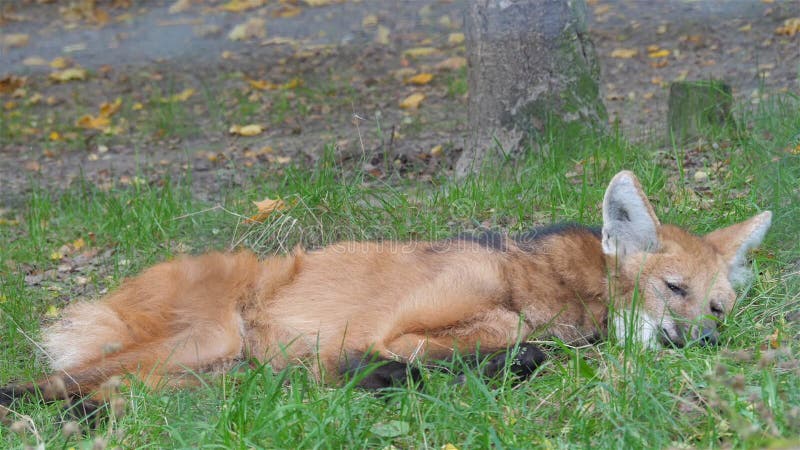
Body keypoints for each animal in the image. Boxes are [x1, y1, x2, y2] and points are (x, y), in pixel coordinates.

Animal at [0, 171, 772, 408]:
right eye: (672, 287)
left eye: (717, 306)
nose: (707, 340)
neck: (548, 279)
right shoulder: (403, 325)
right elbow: (513, 333)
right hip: (209, 336)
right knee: (57, 382)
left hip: (216, 367)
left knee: (121, 392)